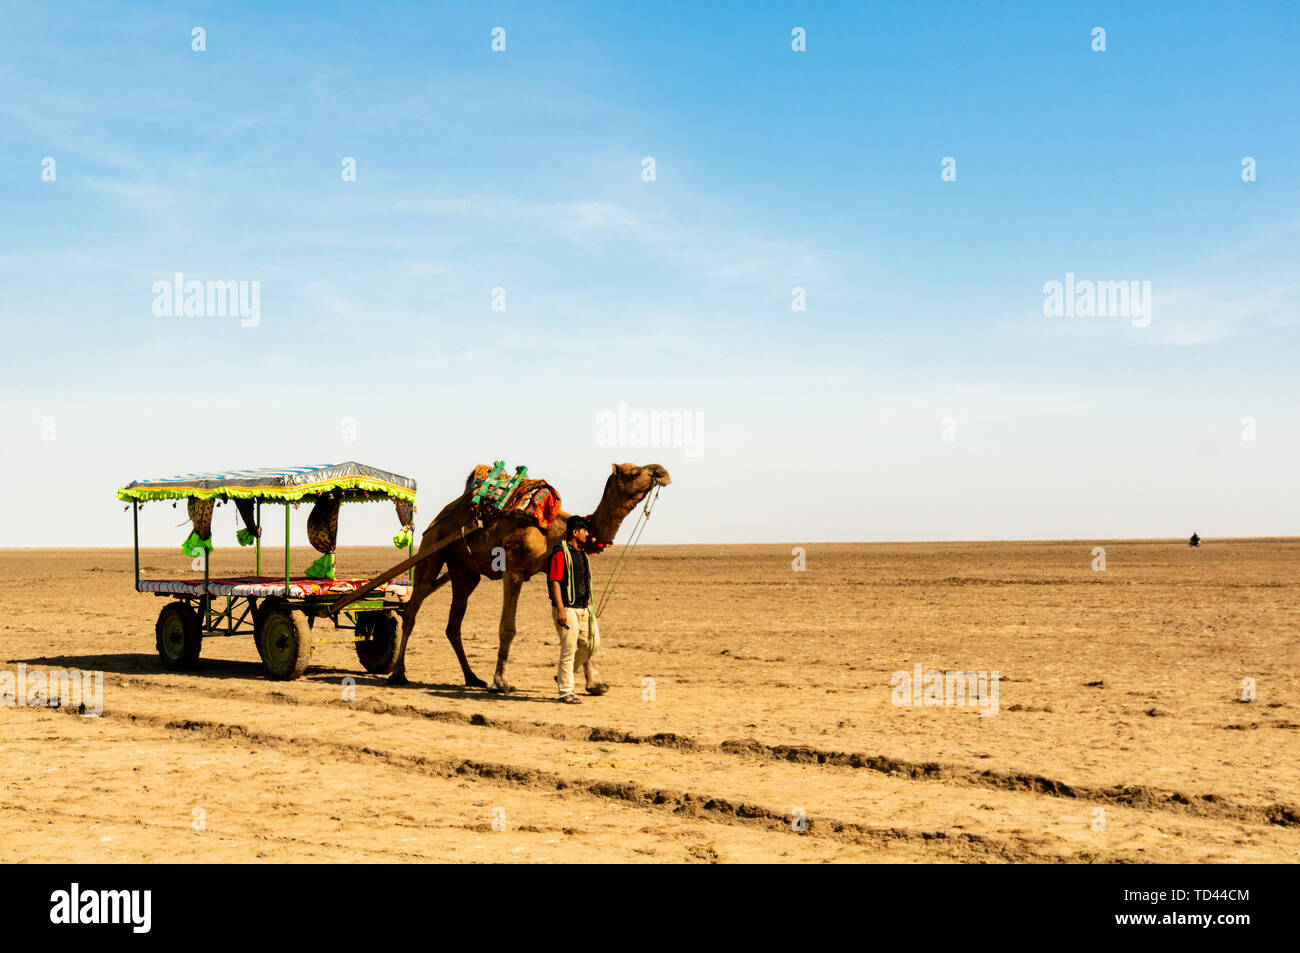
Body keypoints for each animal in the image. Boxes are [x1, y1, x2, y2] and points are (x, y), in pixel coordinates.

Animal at [390, 462, 672, 690]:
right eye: (633, 471)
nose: (662, 472)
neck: (554, 530)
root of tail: (437, 518)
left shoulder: (552, 570)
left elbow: (582, 627)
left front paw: (595, 682)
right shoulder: (513, 571)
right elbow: (507, 628)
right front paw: (501, 682)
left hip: (465, 572)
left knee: (453, 623)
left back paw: (472, 677)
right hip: (432, 547)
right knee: (412, 609)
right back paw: (398, 674)